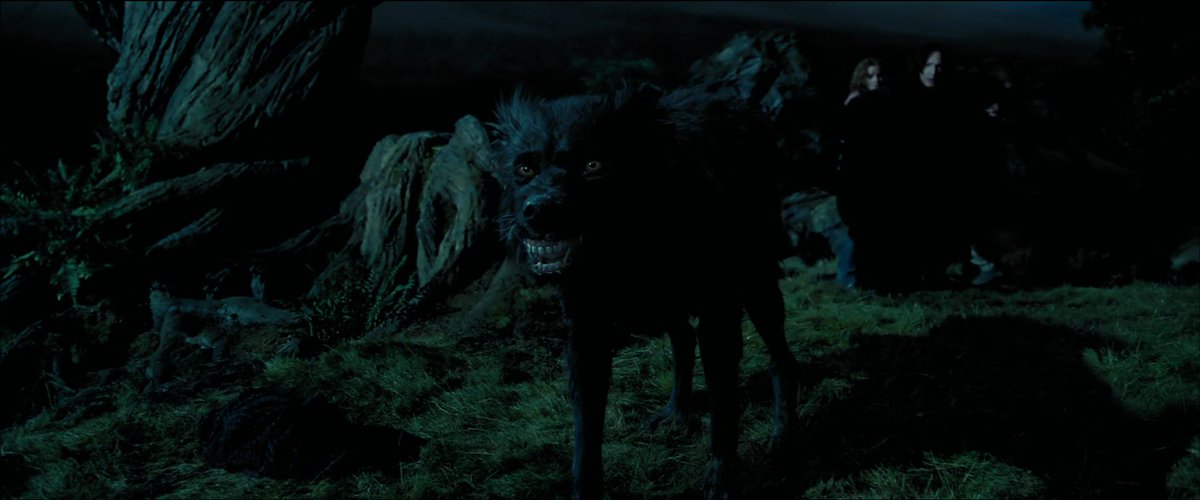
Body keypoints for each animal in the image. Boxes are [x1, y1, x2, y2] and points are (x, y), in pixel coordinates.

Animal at [489, 83, 801, 499]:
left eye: (593, 165)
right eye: (525, 168)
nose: (540, 211)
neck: (624, 247)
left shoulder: (719, 316)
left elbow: (724, 408)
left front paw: (722, 480)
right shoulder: (586, 334)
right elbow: (585, 432)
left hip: (757, 283)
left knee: (781, 360)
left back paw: (783, 438)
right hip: (671, 303)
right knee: (683, 340)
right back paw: (676, 412)